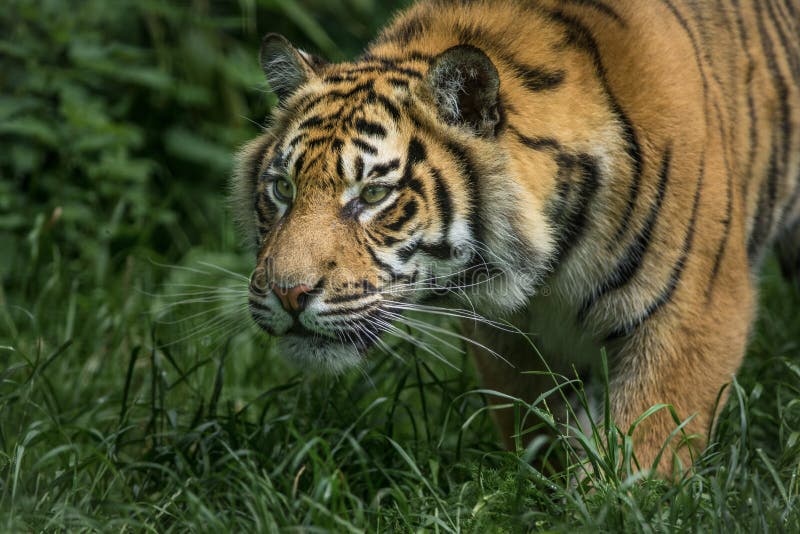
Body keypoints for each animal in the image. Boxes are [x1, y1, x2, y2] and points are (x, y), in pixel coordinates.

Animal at [231, 0, 800, 476]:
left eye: (373, 194)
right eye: (282, 188)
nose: (288, 293)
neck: (546, 270)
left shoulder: (693, 314)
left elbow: (646, 447)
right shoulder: (506, 338)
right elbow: (537, 430)